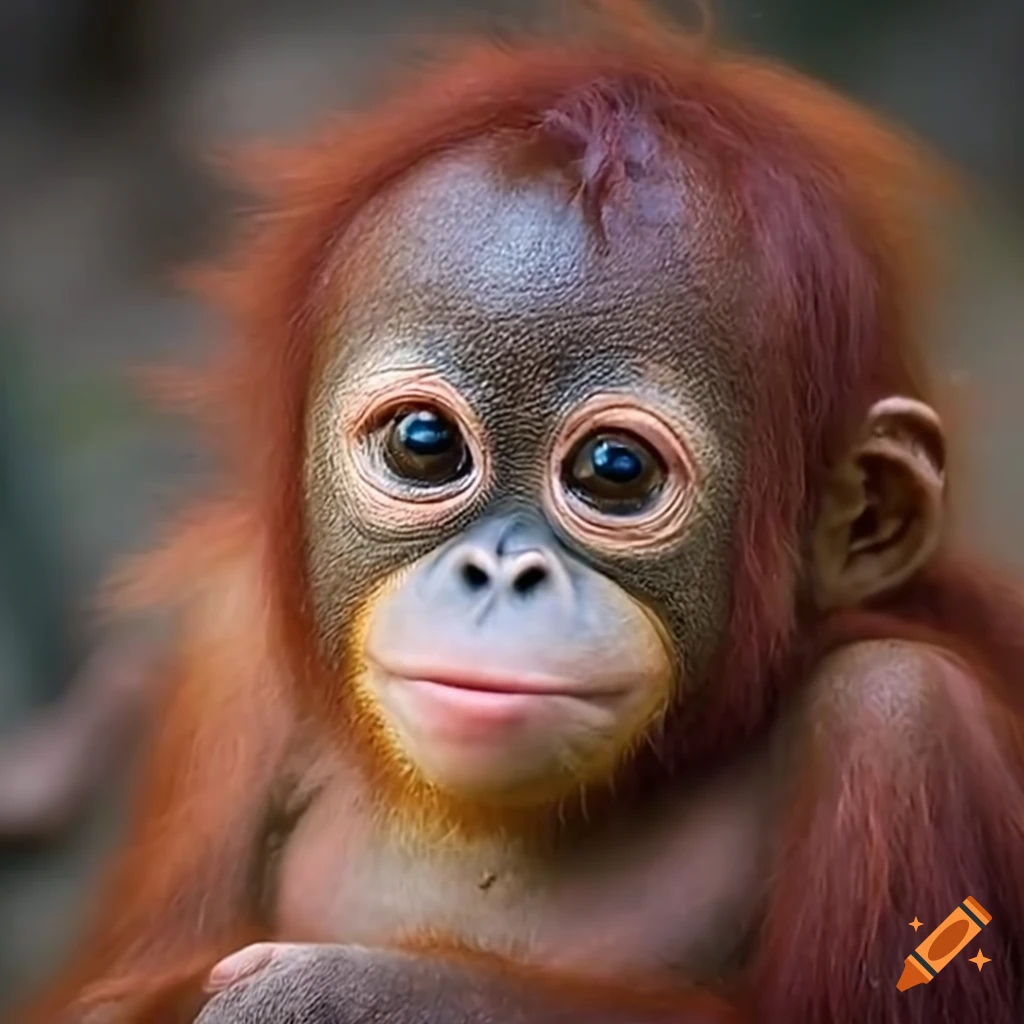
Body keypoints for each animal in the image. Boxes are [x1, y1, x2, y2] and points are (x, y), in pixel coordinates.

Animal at [26, 4, 1024, 1023]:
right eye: (424, 442)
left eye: (615, 470)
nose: (501, 571)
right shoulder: (232, 658)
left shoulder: (904, 719)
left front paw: (337, 990)